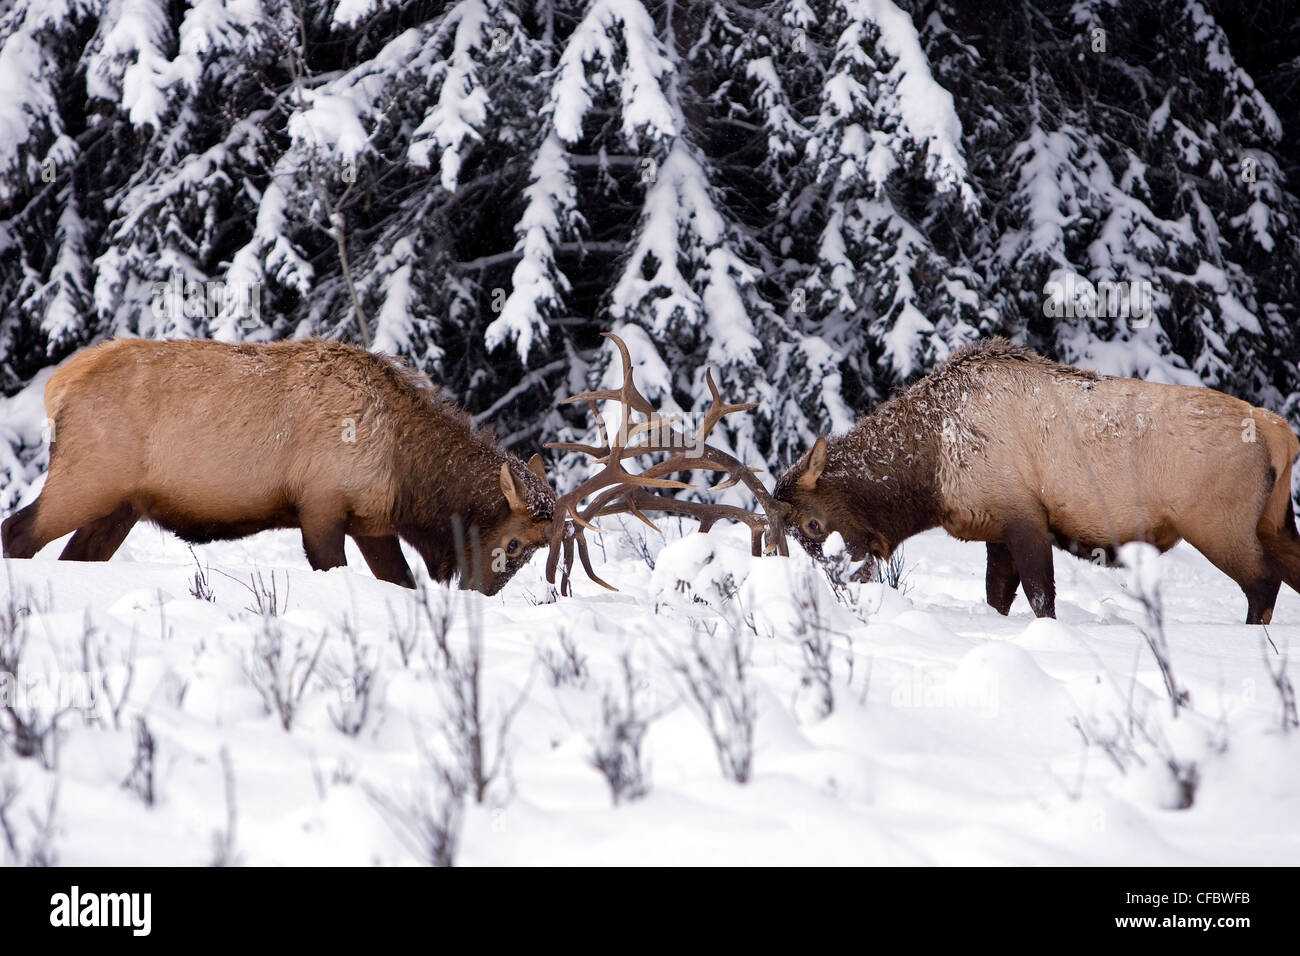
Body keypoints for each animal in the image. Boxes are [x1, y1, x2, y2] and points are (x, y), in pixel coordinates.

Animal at [1, 338, 557, 595]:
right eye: (514, 543)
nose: (480, 592)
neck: (408, 473)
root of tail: (62, 386)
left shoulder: (371, 521)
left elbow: (400, 581)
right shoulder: (321, 507)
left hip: (119, 507)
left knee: (75, 556)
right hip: (87, 479)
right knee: (17, 530)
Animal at [774, 338, 1300, 625]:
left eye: (814, 524)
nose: (844, 581)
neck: (929, 472)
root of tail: (1280, 434)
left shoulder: (1024, 516)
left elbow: (1040, 596)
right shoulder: (995, 528)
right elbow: (997, 597)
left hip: (1218, 524)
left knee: (1263, 582)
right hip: (1274, 523)